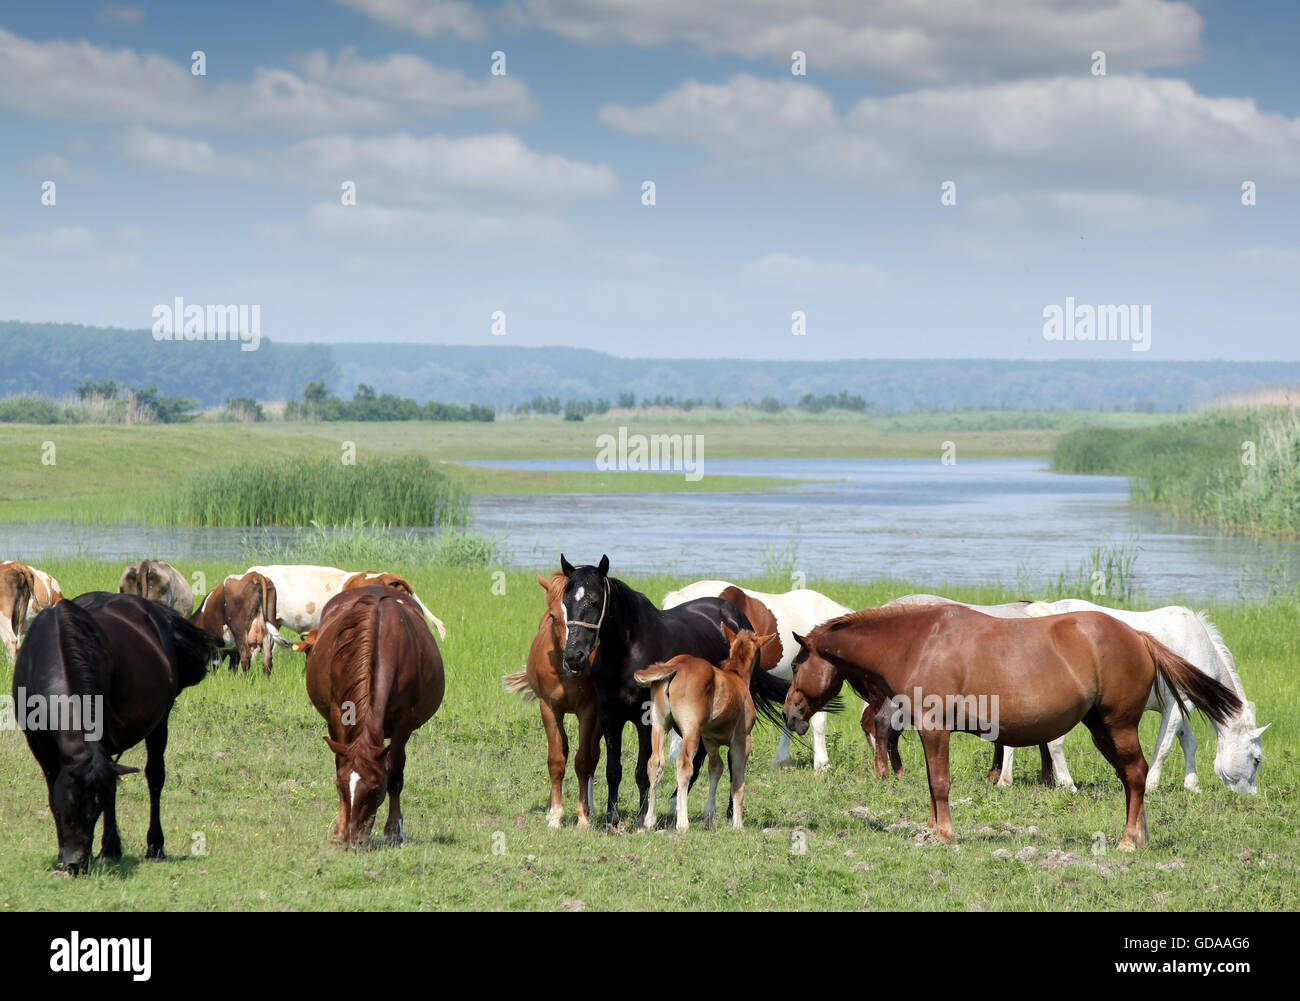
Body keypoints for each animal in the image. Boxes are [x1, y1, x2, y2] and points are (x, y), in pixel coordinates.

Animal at [13, 592, 217, 872]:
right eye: (70, 803)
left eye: (94, 809)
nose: (77, 861)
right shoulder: (37, 743)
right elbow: (53, 792)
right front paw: (61, 854)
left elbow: (112, 790)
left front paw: (107, 848)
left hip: (160, 722)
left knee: (155, 777)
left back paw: (151, 846)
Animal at [298, 586, 444, 848]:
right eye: (340, 786)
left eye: (376, 790)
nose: (353, 840)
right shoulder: (338, 715)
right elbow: (340, 762)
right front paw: (339, 828)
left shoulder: (403, 724)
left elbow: (395, 773)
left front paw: (394, 830)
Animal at [503, 572, 602, 828]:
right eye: (554, 616)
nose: (574, 658)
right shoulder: (549, 708)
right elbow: (556, 758)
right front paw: (555, 815)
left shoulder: (589, 710)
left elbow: (583, 760)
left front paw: (582, 817)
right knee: (563, 749)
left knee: (593, 754)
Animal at [637, 625, 776, 831]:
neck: (737, 677)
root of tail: (677, 666)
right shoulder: (742, 739)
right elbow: (738, 781)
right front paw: (738, 824)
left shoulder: (710, 740)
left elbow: (716, 768)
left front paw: (708, 816)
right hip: (691, 731)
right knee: (684, 765)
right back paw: (682, 823)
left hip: (660, 724)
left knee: (655, 763)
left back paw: (649, 820)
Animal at [784, 604, 1242, 850]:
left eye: (797, 664)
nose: (789, 714)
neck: (919, 641)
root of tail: (1140, 637)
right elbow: (931, 783)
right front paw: (931, 830)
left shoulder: (935, 729)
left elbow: (939, 784)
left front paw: (944, 834)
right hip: (1101, 730)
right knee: (1134, 779)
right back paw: (1138, 834)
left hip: (1119, 726)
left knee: (1136, 774)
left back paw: (1130, 840)